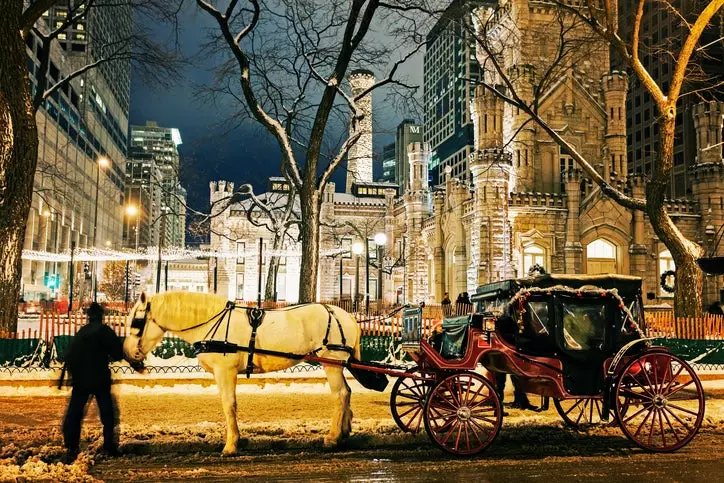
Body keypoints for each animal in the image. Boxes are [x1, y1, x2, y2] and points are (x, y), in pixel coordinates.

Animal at [124, 292, 364, 458]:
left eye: (137, 322)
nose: (127, 354)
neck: (213, 323)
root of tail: (344, 315)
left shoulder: (225, 371)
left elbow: (229, 405)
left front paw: (231, 445)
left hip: (331, 364)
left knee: (340, 395)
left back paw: (333, 437)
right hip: (336, 364)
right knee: (347, 392)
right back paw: (344, 432)